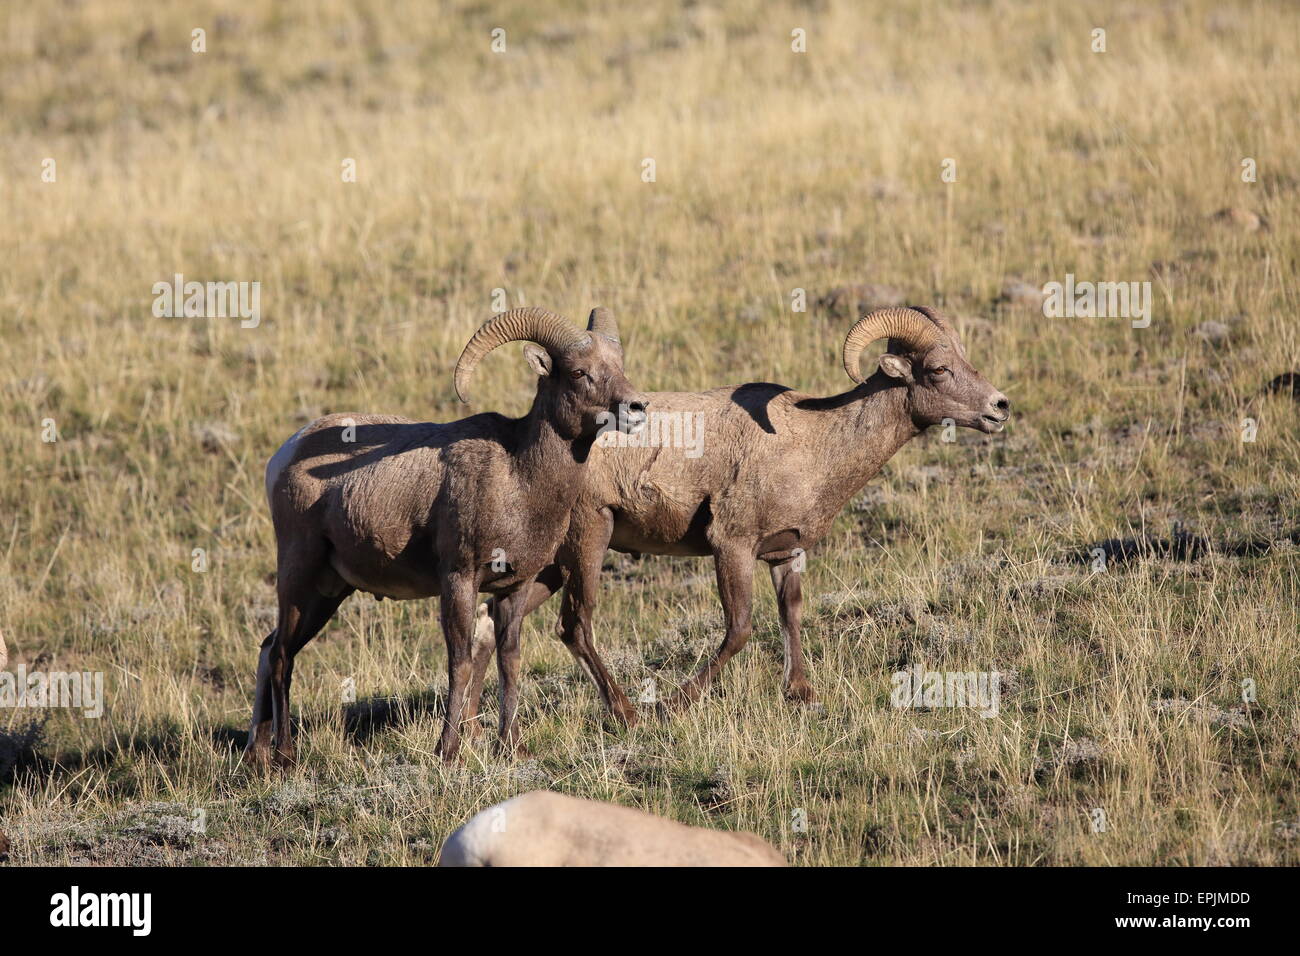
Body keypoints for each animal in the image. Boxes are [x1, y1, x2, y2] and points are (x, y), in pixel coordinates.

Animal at [245, 307, 648, 768]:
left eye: (619, 365)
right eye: (580, 372)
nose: (638, 407)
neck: (518, 477)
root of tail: (284, 457)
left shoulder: (515, 587)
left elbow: (508, 661)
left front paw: (511, 746)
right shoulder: (459, 580)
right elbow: (461, 662)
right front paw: (448, 752)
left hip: (328, 592)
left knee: (272, 647)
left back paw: (258, 756)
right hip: (299, 576)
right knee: (280, 656)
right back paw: (285, 756)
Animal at [477, 307, 1009, 729]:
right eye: (938, 369)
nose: (999, 407)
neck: (811, 444)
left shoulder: (785, 553)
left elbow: (790, 613)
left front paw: (801, 693)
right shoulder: (731, 546)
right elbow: (739, 630)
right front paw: (674, 705)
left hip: (547, 567)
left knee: (494, 626)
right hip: (589, 541)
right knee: (574, 626)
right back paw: (626, 714)